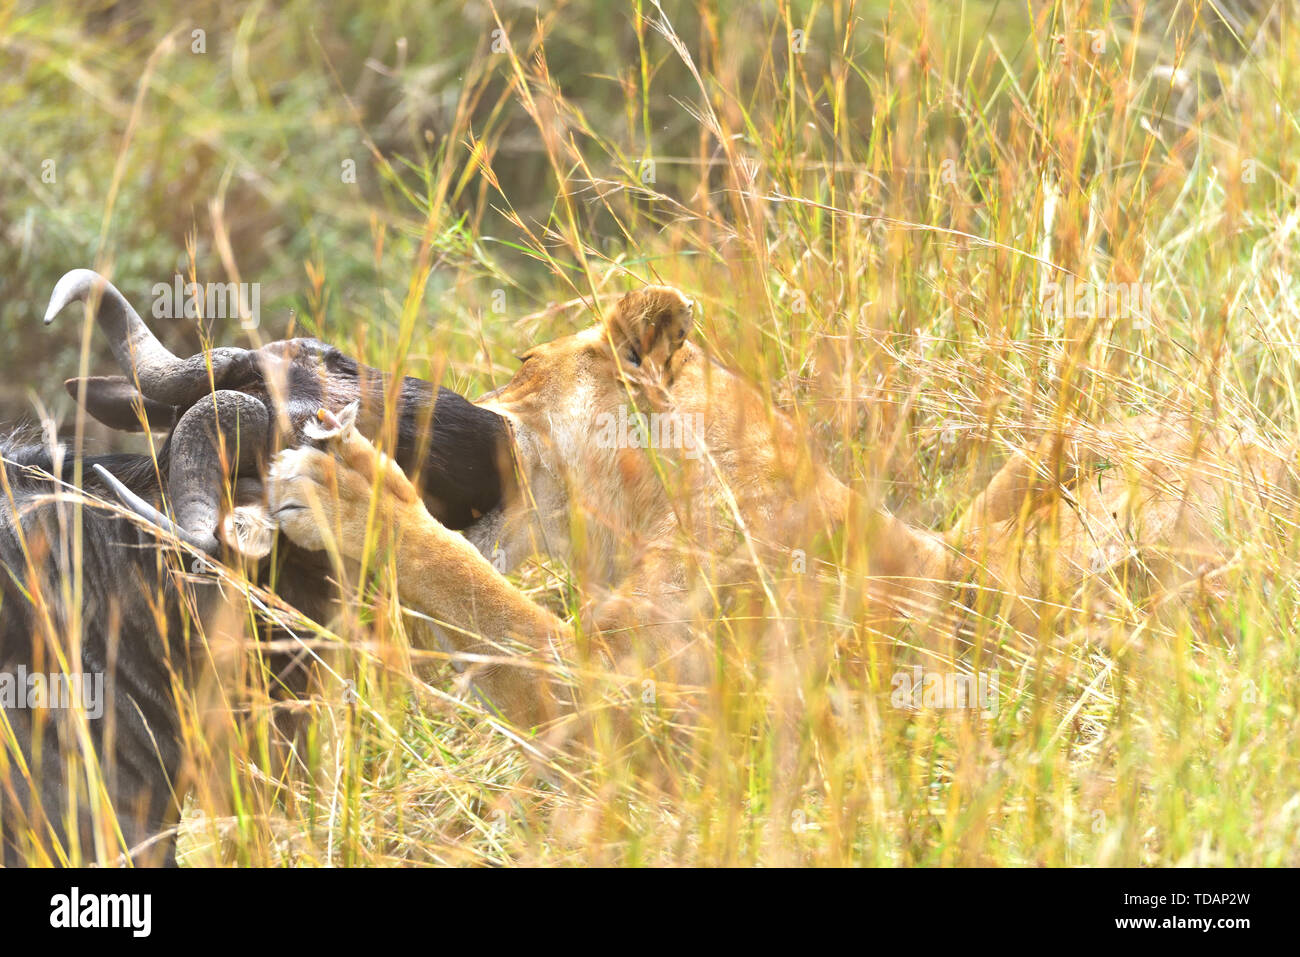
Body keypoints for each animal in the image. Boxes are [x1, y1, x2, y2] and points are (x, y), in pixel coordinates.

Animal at [267, 285, 1290, 731]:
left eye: (523, 364)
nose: (464, 407)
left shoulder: (667, 715)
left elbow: (492, 605)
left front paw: (355, 491)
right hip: (1056, 458)